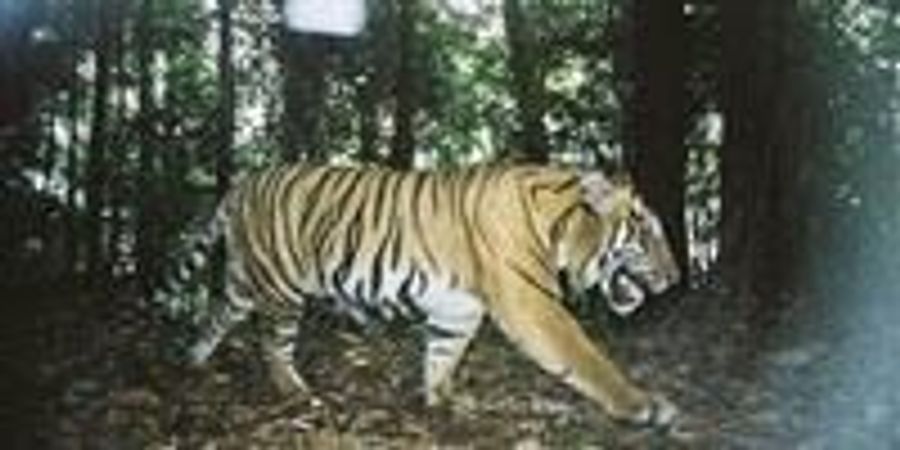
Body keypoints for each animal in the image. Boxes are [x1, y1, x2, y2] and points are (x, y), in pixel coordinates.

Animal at [159, 163, 681, 428]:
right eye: (648, 231)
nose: (676, 277)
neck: (560, 227)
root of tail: (244, 181)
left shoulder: (459, 308)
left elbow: (443, 353)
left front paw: (441, 399)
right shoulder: (531, 303)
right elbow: (585, 357)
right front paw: (642, 405)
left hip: (246, 279)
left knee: (218, 311)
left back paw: (192, 359)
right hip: (282, 286)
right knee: (271, 343)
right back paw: (297, 394)